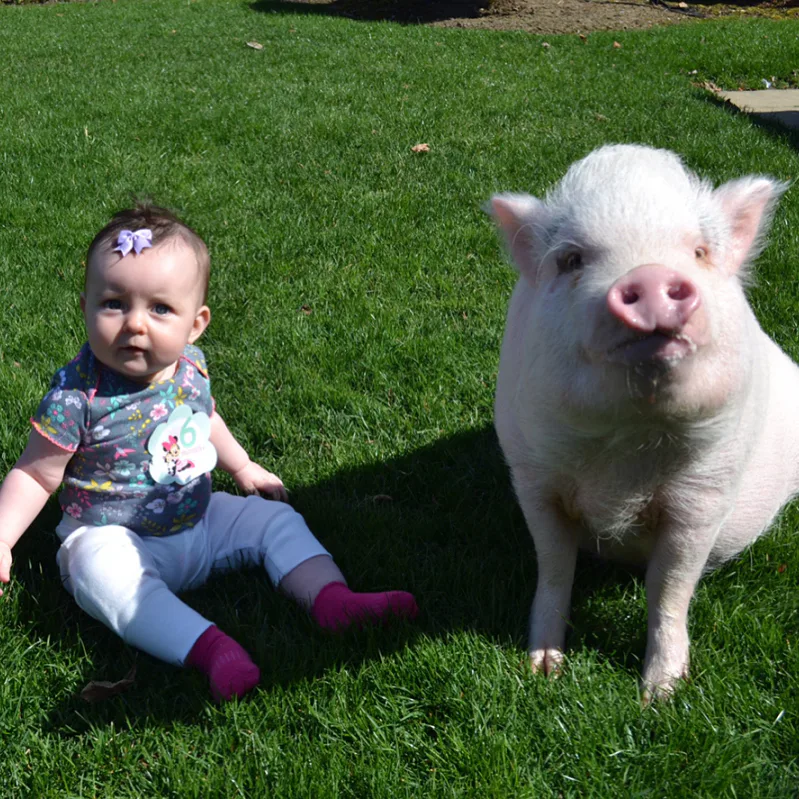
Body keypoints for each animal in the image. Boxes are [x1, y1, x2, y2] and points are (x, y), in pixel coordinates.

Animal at [490, 144, 797, 700]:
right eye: (572, 260)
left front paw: (659, 696)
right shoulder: (533, 476)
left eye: (699, 252)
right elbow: (555, 566)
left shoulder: (704, 495)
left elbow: (669, 586)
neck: (626, 448)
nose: (649, 275)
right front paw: (543, 670)